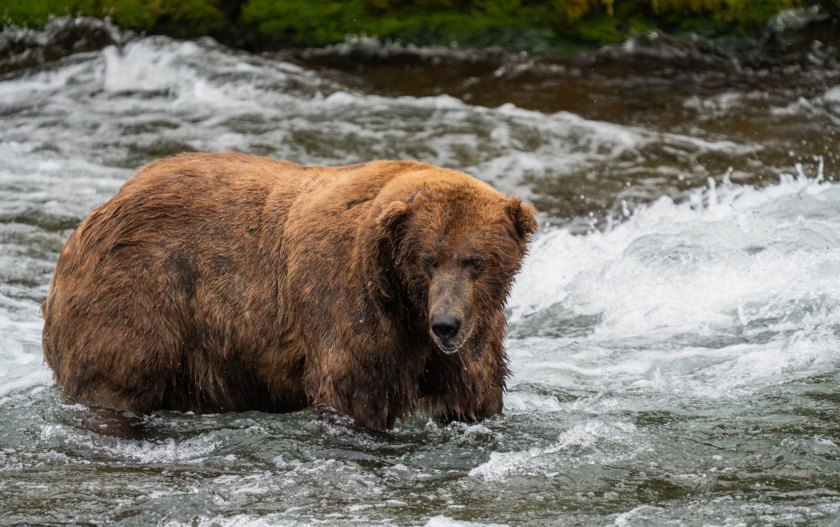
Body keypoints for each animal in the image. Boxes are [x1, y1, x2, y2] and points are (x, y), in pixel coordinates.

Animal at [41, 151, 537, 430]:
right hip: (141, 291)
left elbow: (475, 394)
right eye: (427, 259)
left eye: (476, 261)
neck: (403, 304)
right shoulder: (348, 305)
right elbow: (352, 391)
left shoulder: (473, 336)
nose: (446, 324)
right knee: (116, 374)